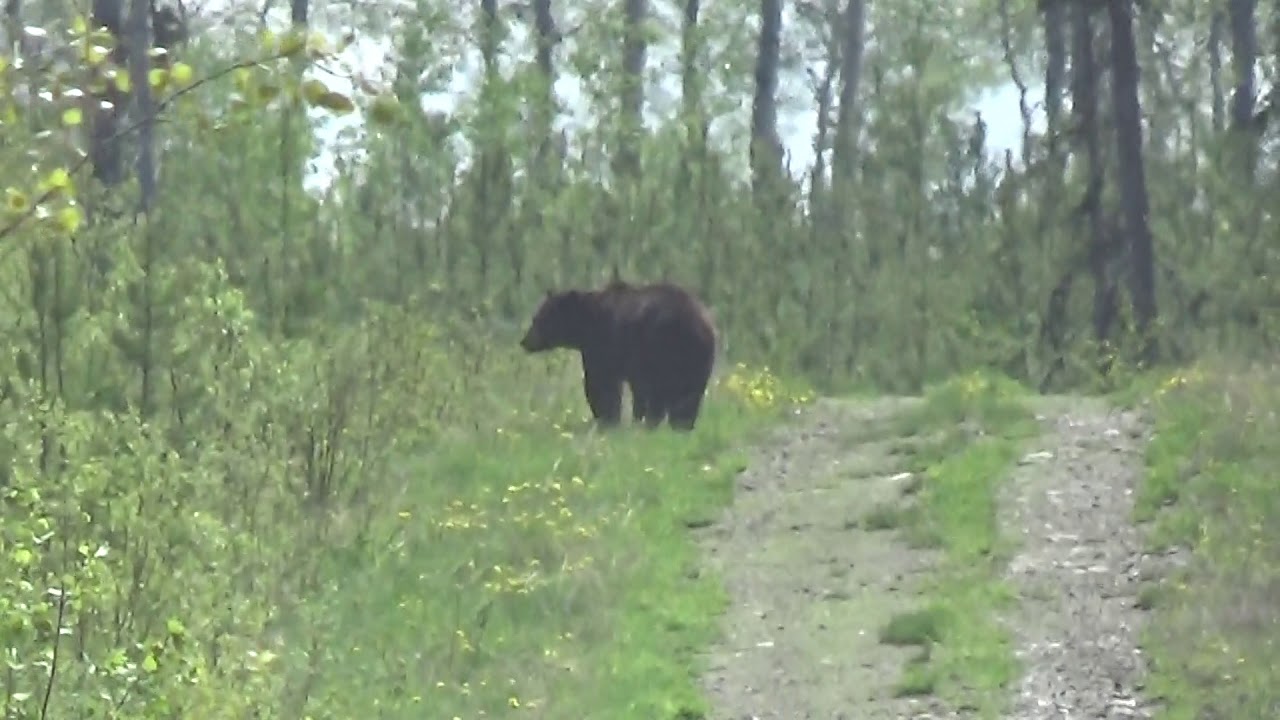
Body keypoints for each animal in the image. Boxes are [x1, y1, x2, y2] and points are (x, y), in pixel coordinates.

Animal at [519, 278, 718, 431]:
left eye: (539, 318)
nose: (525, 342)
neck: (586, 324)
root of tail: (696, 323)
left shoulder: (604, 346)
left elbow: (601, 385)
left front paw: (608, 420)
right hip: (698, 359)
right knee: (689, 396)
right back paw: (681, 425)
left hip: (661, 347)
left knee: (662, 393)